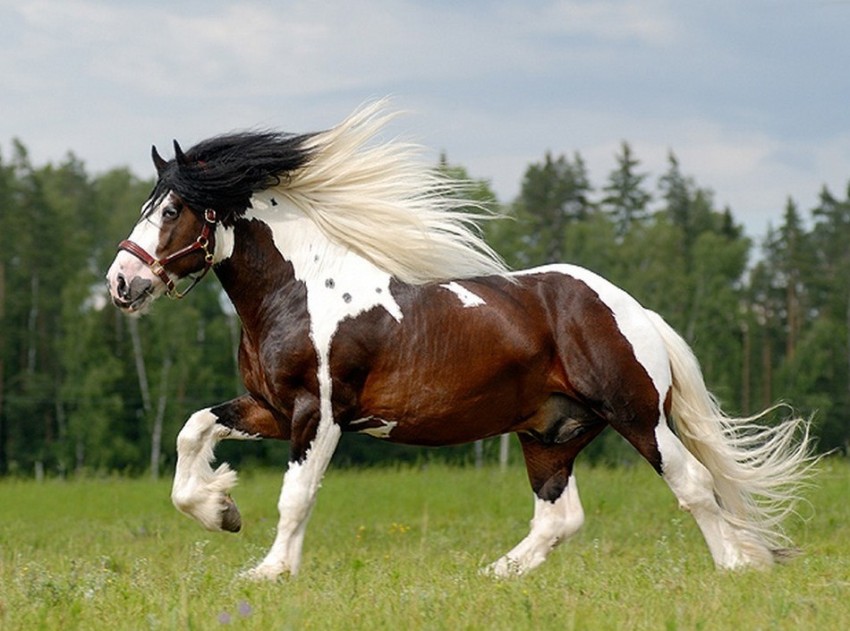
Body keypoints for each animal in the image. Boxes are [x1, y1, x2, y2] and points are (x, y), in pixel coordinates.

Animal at [106, 101, 812, 580]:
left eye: (171, 211)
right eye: (149, 206)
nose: (120, 283)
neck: (298, 293)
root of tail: (631, 309)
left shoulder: (319, 414)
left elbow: (295, 496)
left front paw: (267, 571)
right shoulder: (271, 410)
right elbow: (192, 430)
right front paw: (219, 506)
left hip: (635, 414)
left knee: (693, 482)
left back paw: (735, 568)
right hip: (550, 432)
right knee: (560, 516)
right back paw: (497, 574)